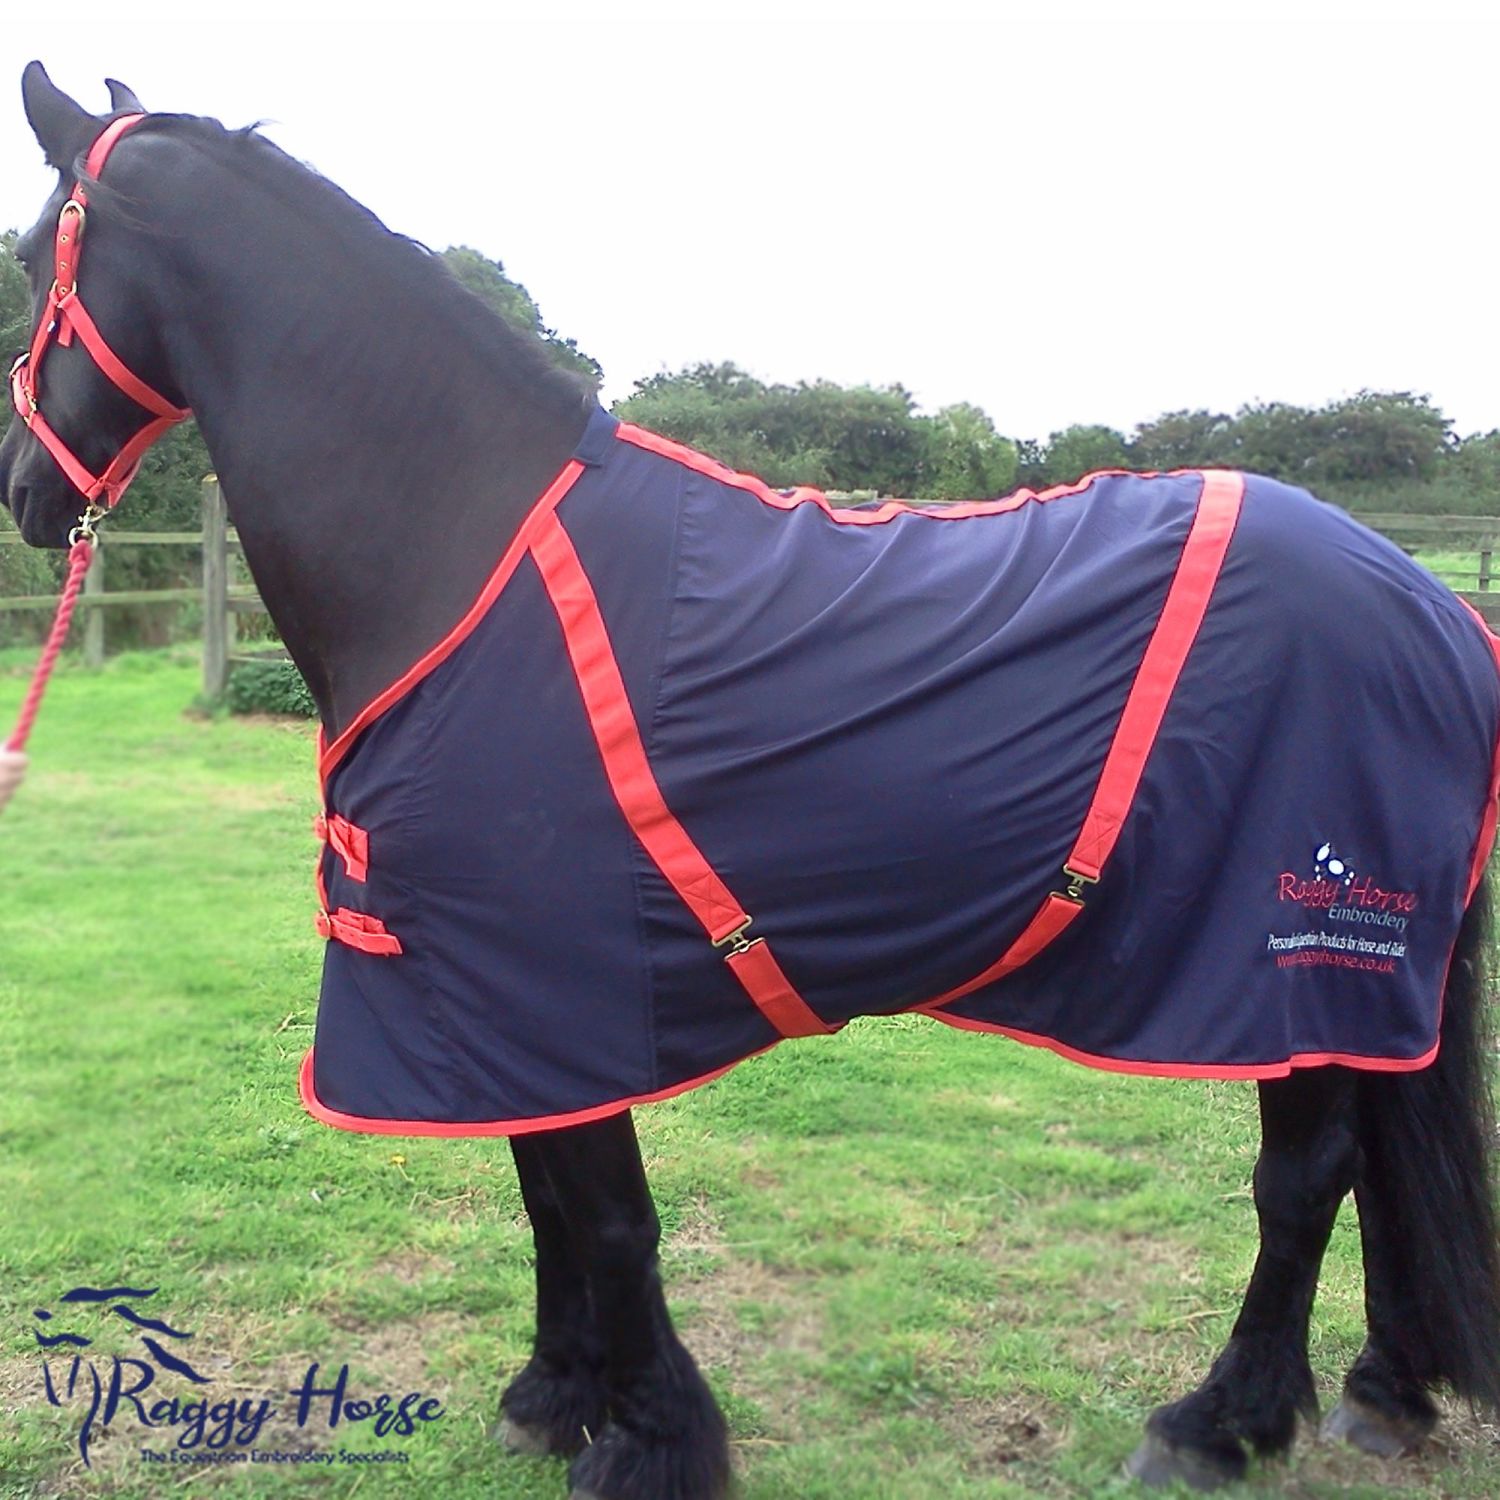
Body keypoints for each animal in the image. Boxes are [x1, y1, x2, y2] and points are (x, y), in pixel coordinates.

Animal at [5, 64, 1499, 1499]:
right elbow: (543, 1187)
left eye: (29, 259)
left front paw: (647, 1440)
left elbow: (605, 1213)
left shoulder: (559, 982)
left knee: (1305, 1177)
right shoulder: (491, 1001)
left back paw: (1219, 1425)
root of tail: (1432, 602)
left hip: (1294, 969)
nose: (23, 490)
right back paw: (1379, 1391)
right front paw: (553, 1397)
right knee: (1371, 1166)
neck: (461, 554)